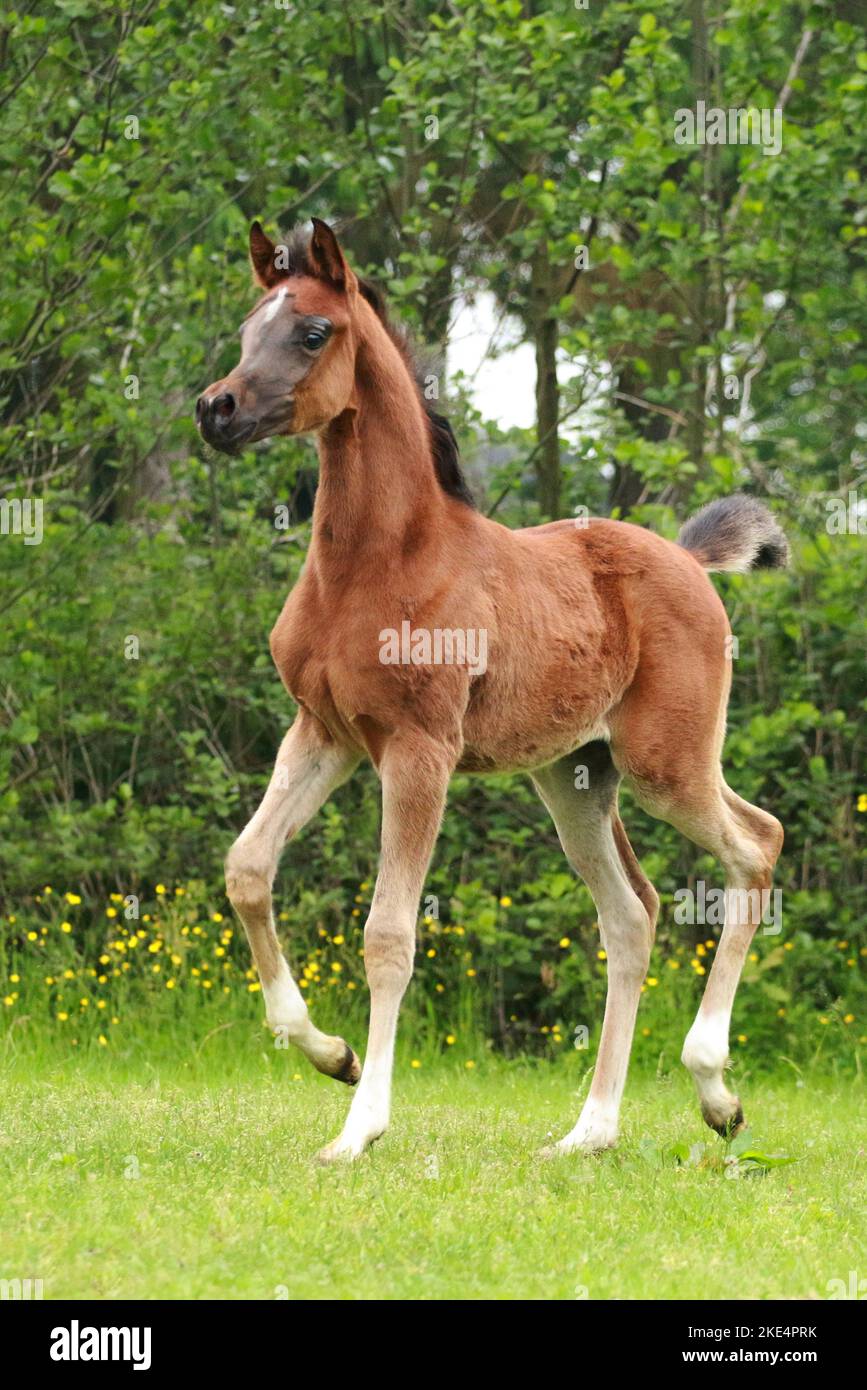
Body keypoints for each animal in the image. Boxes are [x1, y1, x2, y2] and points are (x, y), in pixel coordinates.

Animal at [196, 218, 787, 1163]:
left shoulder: (419, 751)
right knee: (631, 915)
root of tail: (691, 560)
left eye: (313, 331)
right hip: (575, 777)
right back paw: (590, 1132)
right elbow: (248, 867)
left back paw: (715, 1092)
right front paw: (332, 1055)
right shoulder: (323, 732)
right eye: (252, 322)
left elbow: (388, 934)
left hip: (665, 761)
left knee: (755, 843)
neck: (377, 563)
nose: (216, 409)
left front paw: (358, 1130)